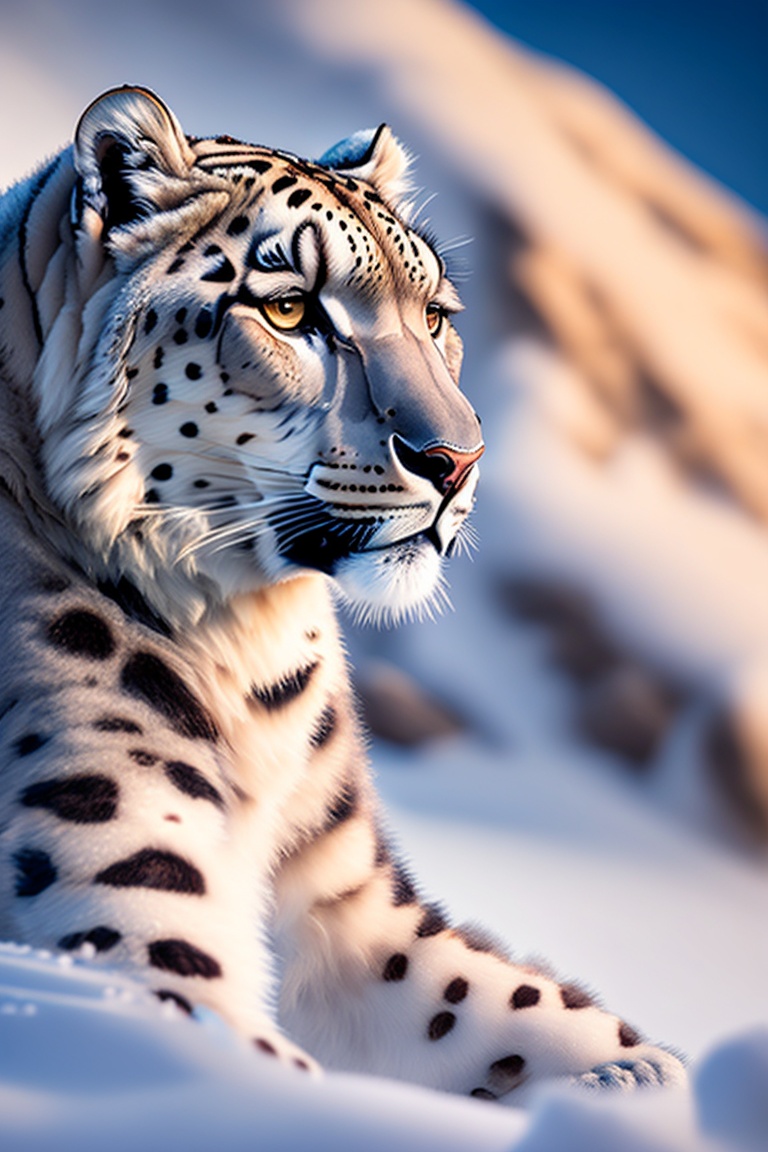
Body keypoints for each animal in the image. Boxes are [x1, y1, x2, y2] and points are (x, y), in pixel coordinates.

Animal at [0, 85, 685, 1101]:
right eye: (287, 307)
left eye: (435, 314)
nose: (458, 459)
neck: (246, 649)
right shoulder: (123, 876)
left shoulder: (348, 904)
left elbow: (506, 1008)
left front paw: (642, 1076)